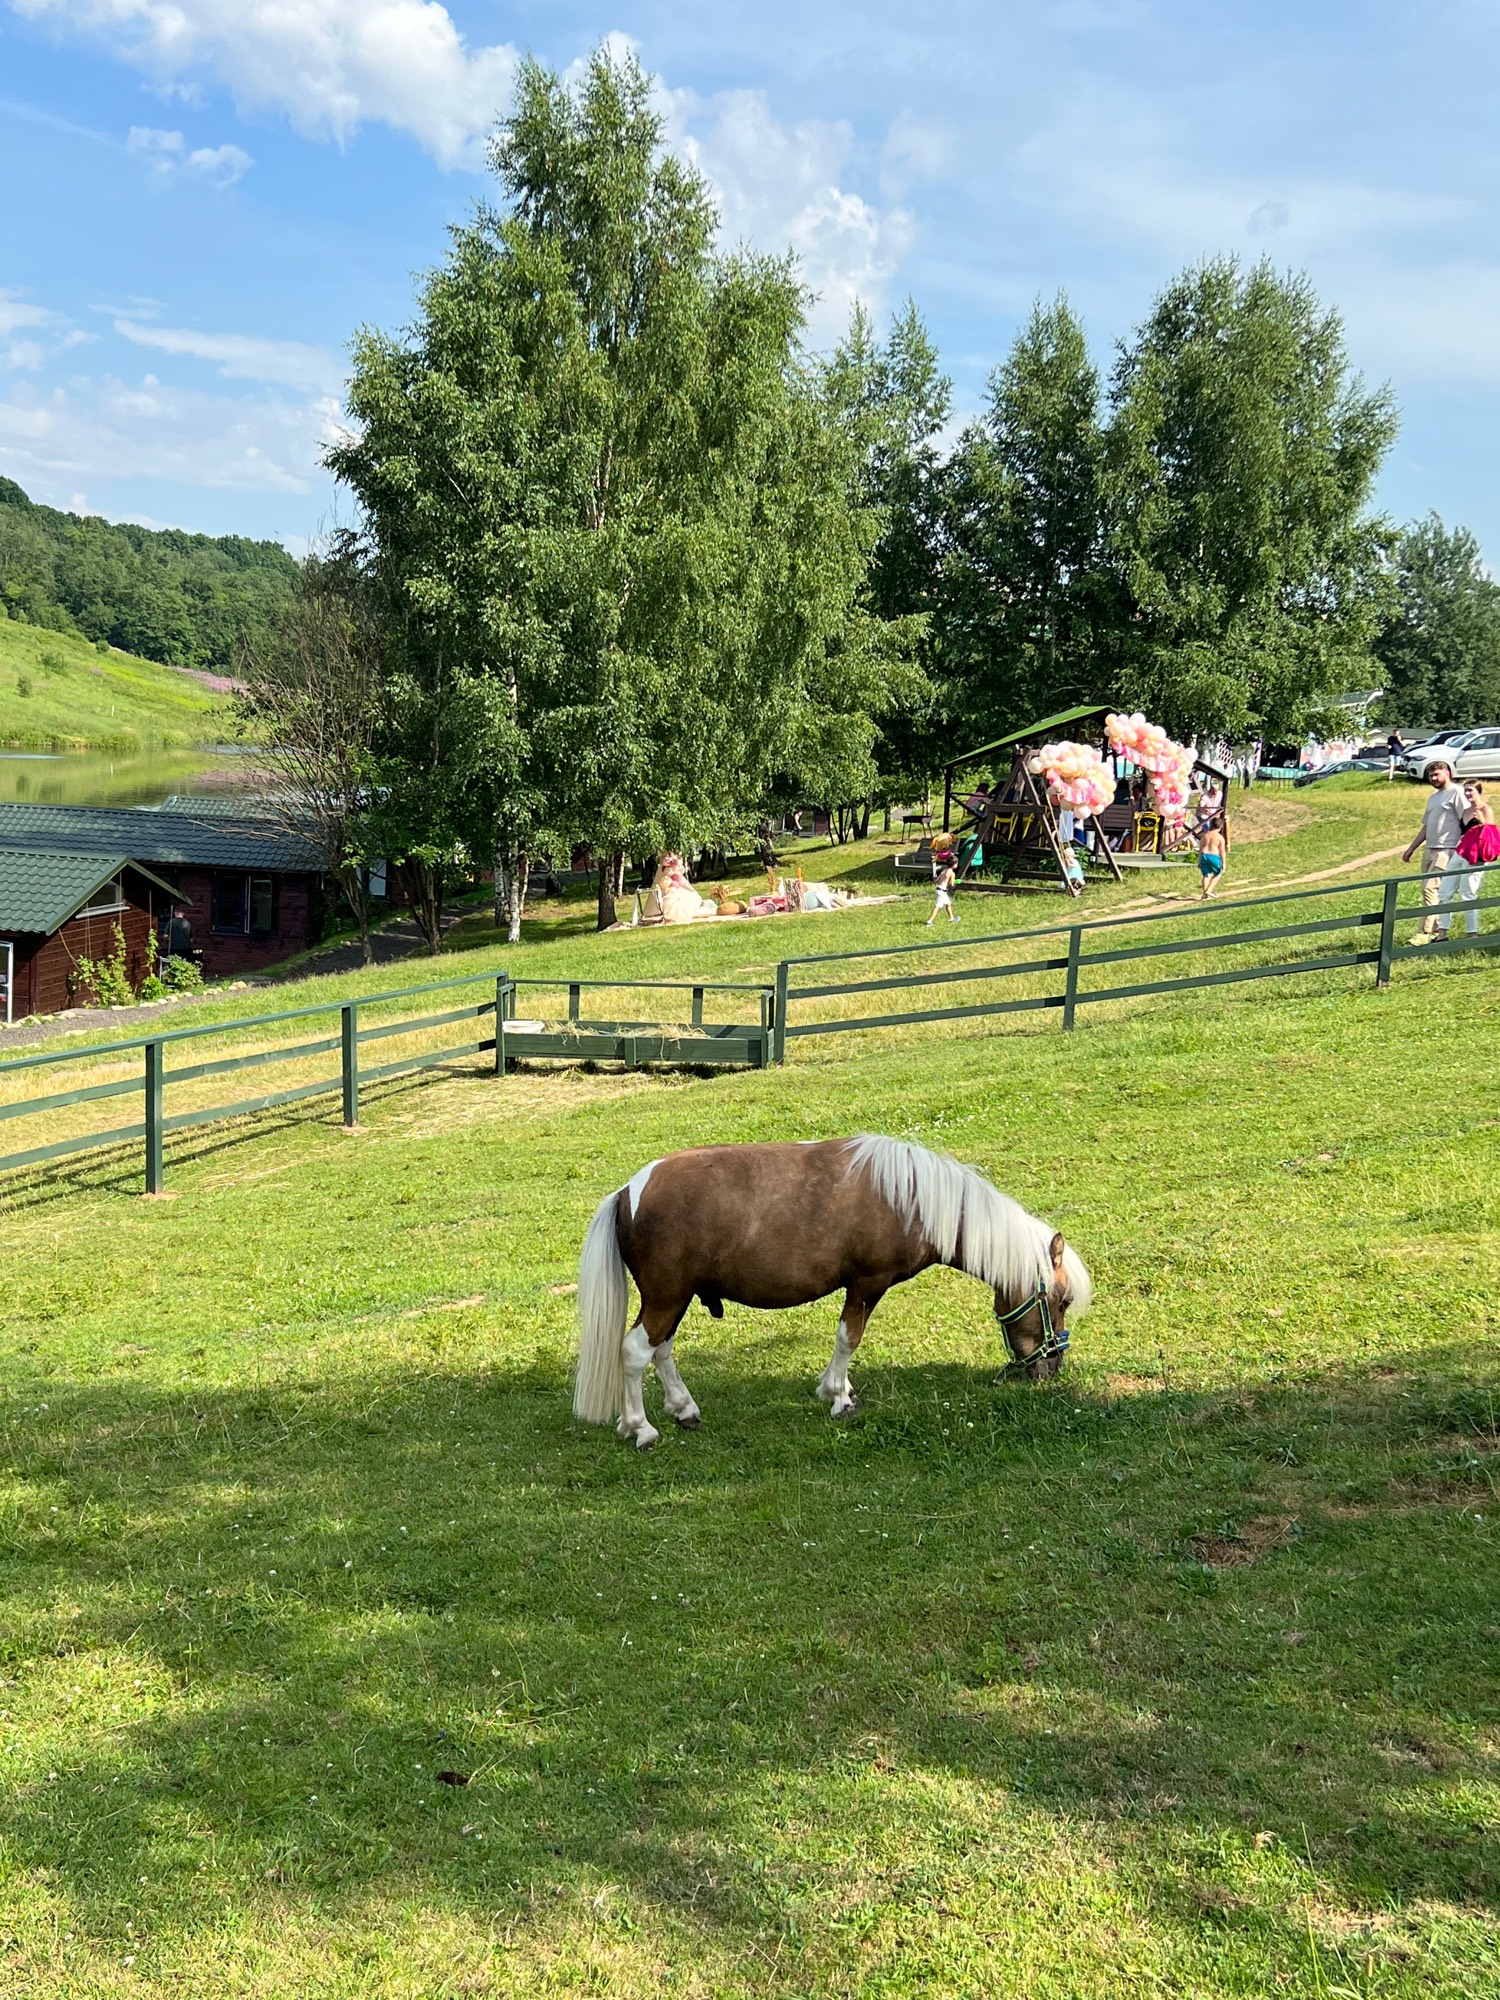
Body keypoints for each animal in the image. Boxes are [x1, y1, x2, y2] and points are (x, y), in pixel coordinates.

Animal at [572, 1144, 1096, 1456]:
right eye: (1063, 1301)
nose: (1050, 1368)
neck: (910, 1196)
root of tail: (627, 1193)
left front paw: (837, 1389)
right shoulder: (866, 1284)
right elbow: (848, 1338)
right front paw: (839, 1396)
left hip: (673, 1301)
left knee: (661, 1351)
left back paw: (683, 1408)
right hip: (666, 1298)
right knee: (635, 1353)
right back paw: (639, 1428)